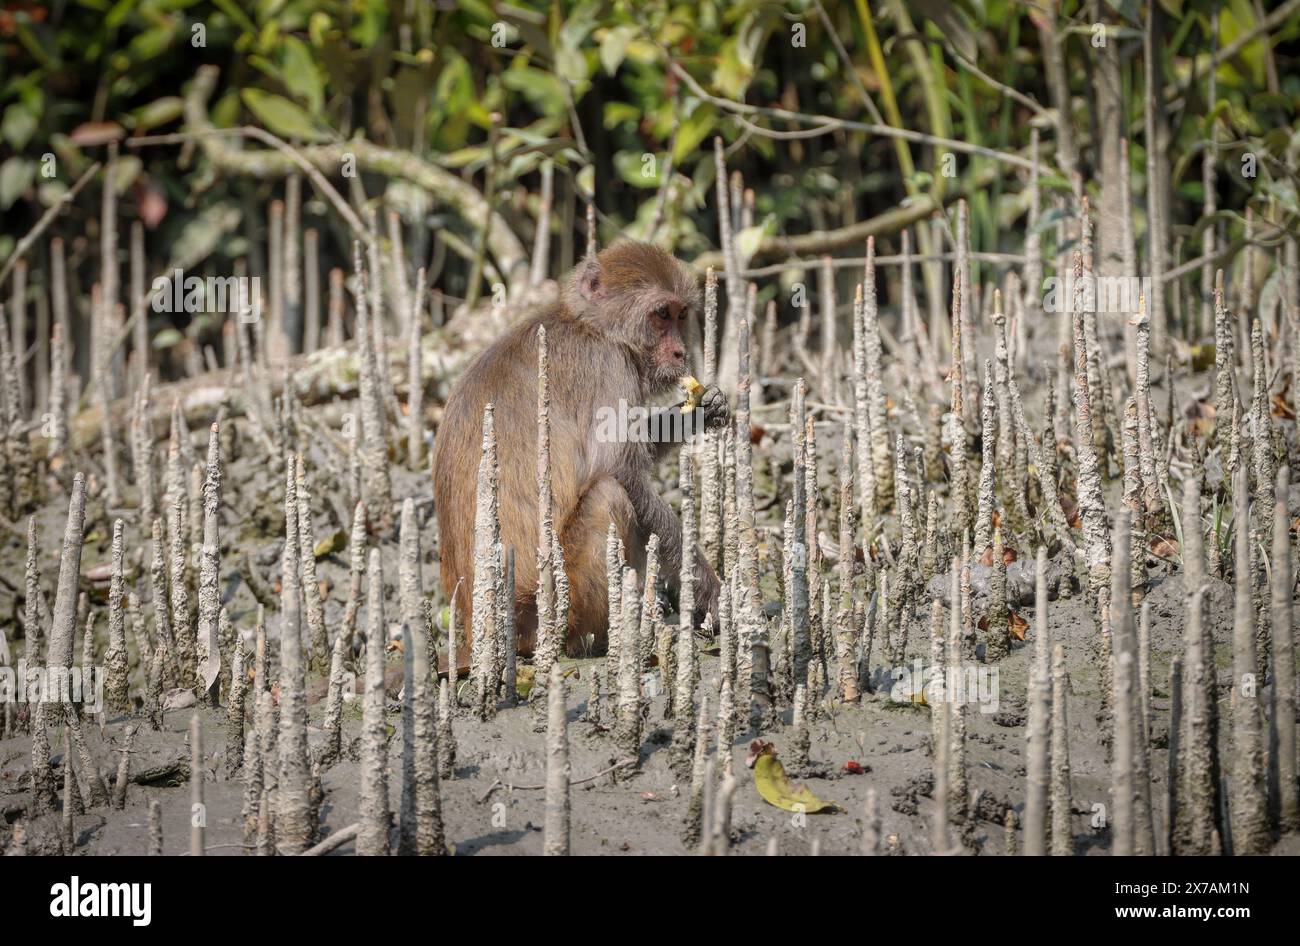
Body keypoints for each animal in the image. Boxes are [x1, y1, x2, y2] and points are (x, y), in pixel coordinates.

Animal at [432, 241, 727, 658]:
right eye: (661, 315)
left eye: (681, 315)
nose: (680, 353)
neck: (594, 326)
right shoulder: (609, 365)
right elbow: (620, 470)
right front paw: (712, 593)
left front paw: (700, 412)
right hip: (553, 606)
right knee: (608, 495)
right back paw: (613, 636)